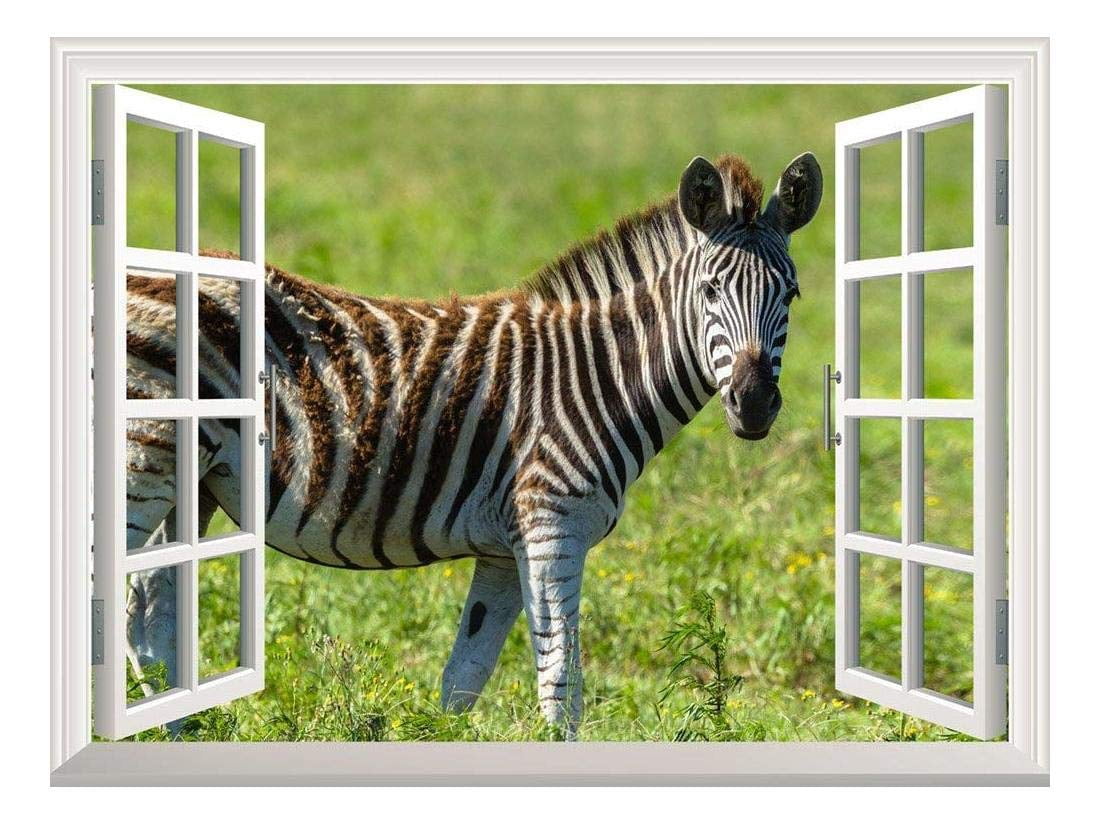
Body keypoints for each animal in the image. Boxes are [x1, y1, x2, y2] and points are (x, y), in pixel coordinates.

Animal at [123, 152, 822, 735]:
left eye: (791, 294)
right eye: (710, 291)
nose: (754, 404)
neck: (597, 375)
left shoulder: (504, 549)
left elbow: (464, 678)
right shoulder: (552, 526)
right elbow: (561, 685)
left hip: (192, 483)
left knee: (151, 616)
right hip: (146, 461)